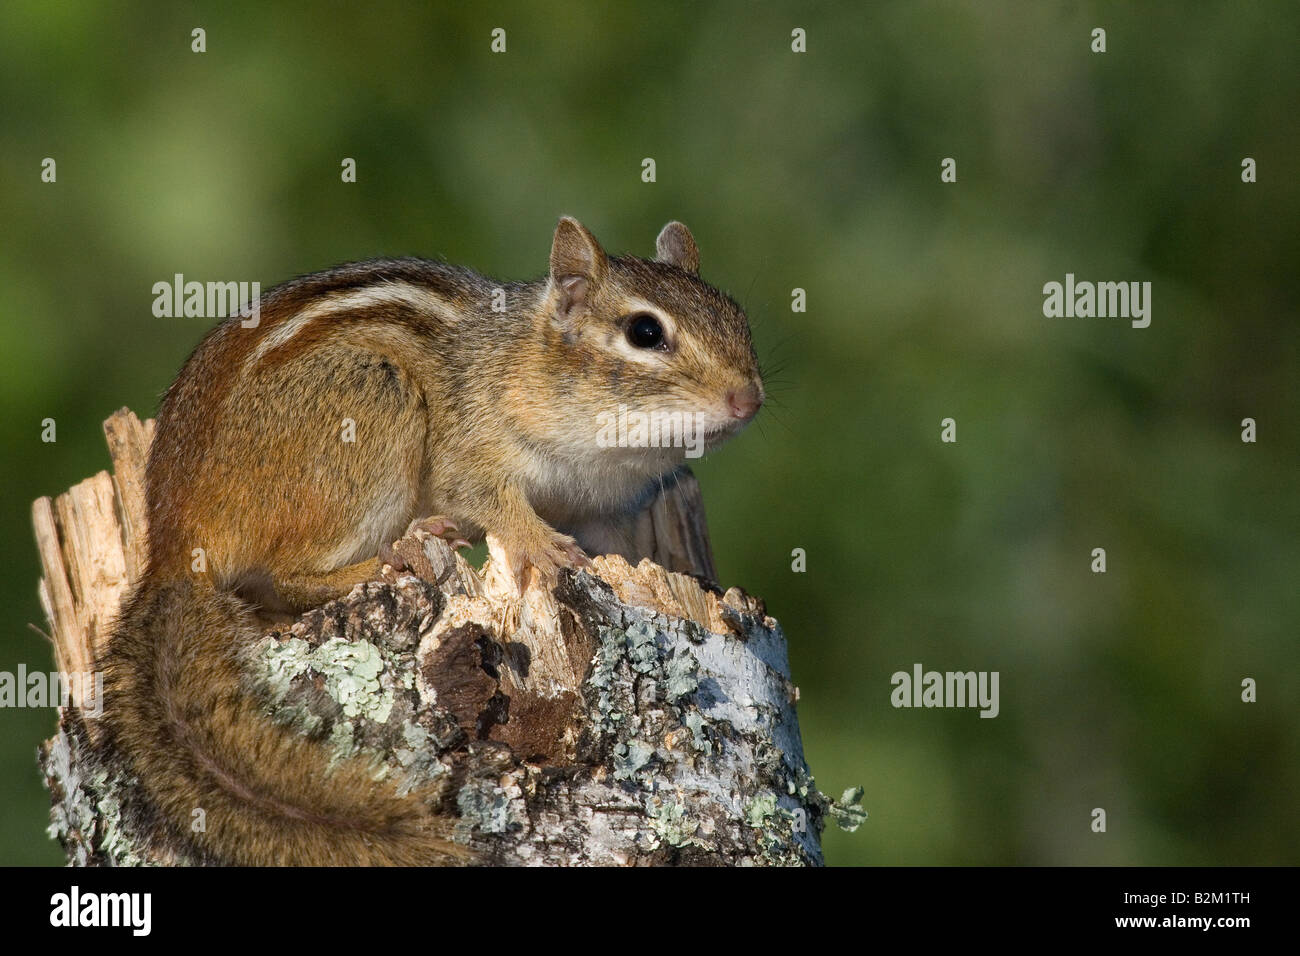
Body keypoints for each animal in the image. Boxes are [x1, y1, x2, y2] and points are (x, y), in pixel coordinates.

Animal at [100, 217, 765, 865]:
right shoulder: (467, 450)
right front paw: (540, 544)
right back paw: (390, 556)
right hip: (368, 404)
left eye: (738, 315)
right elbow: (489, 501)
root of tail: (175, 547)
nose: (750, 398)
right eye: (645, 332)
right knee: (289, 573)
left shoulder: (603, 509)